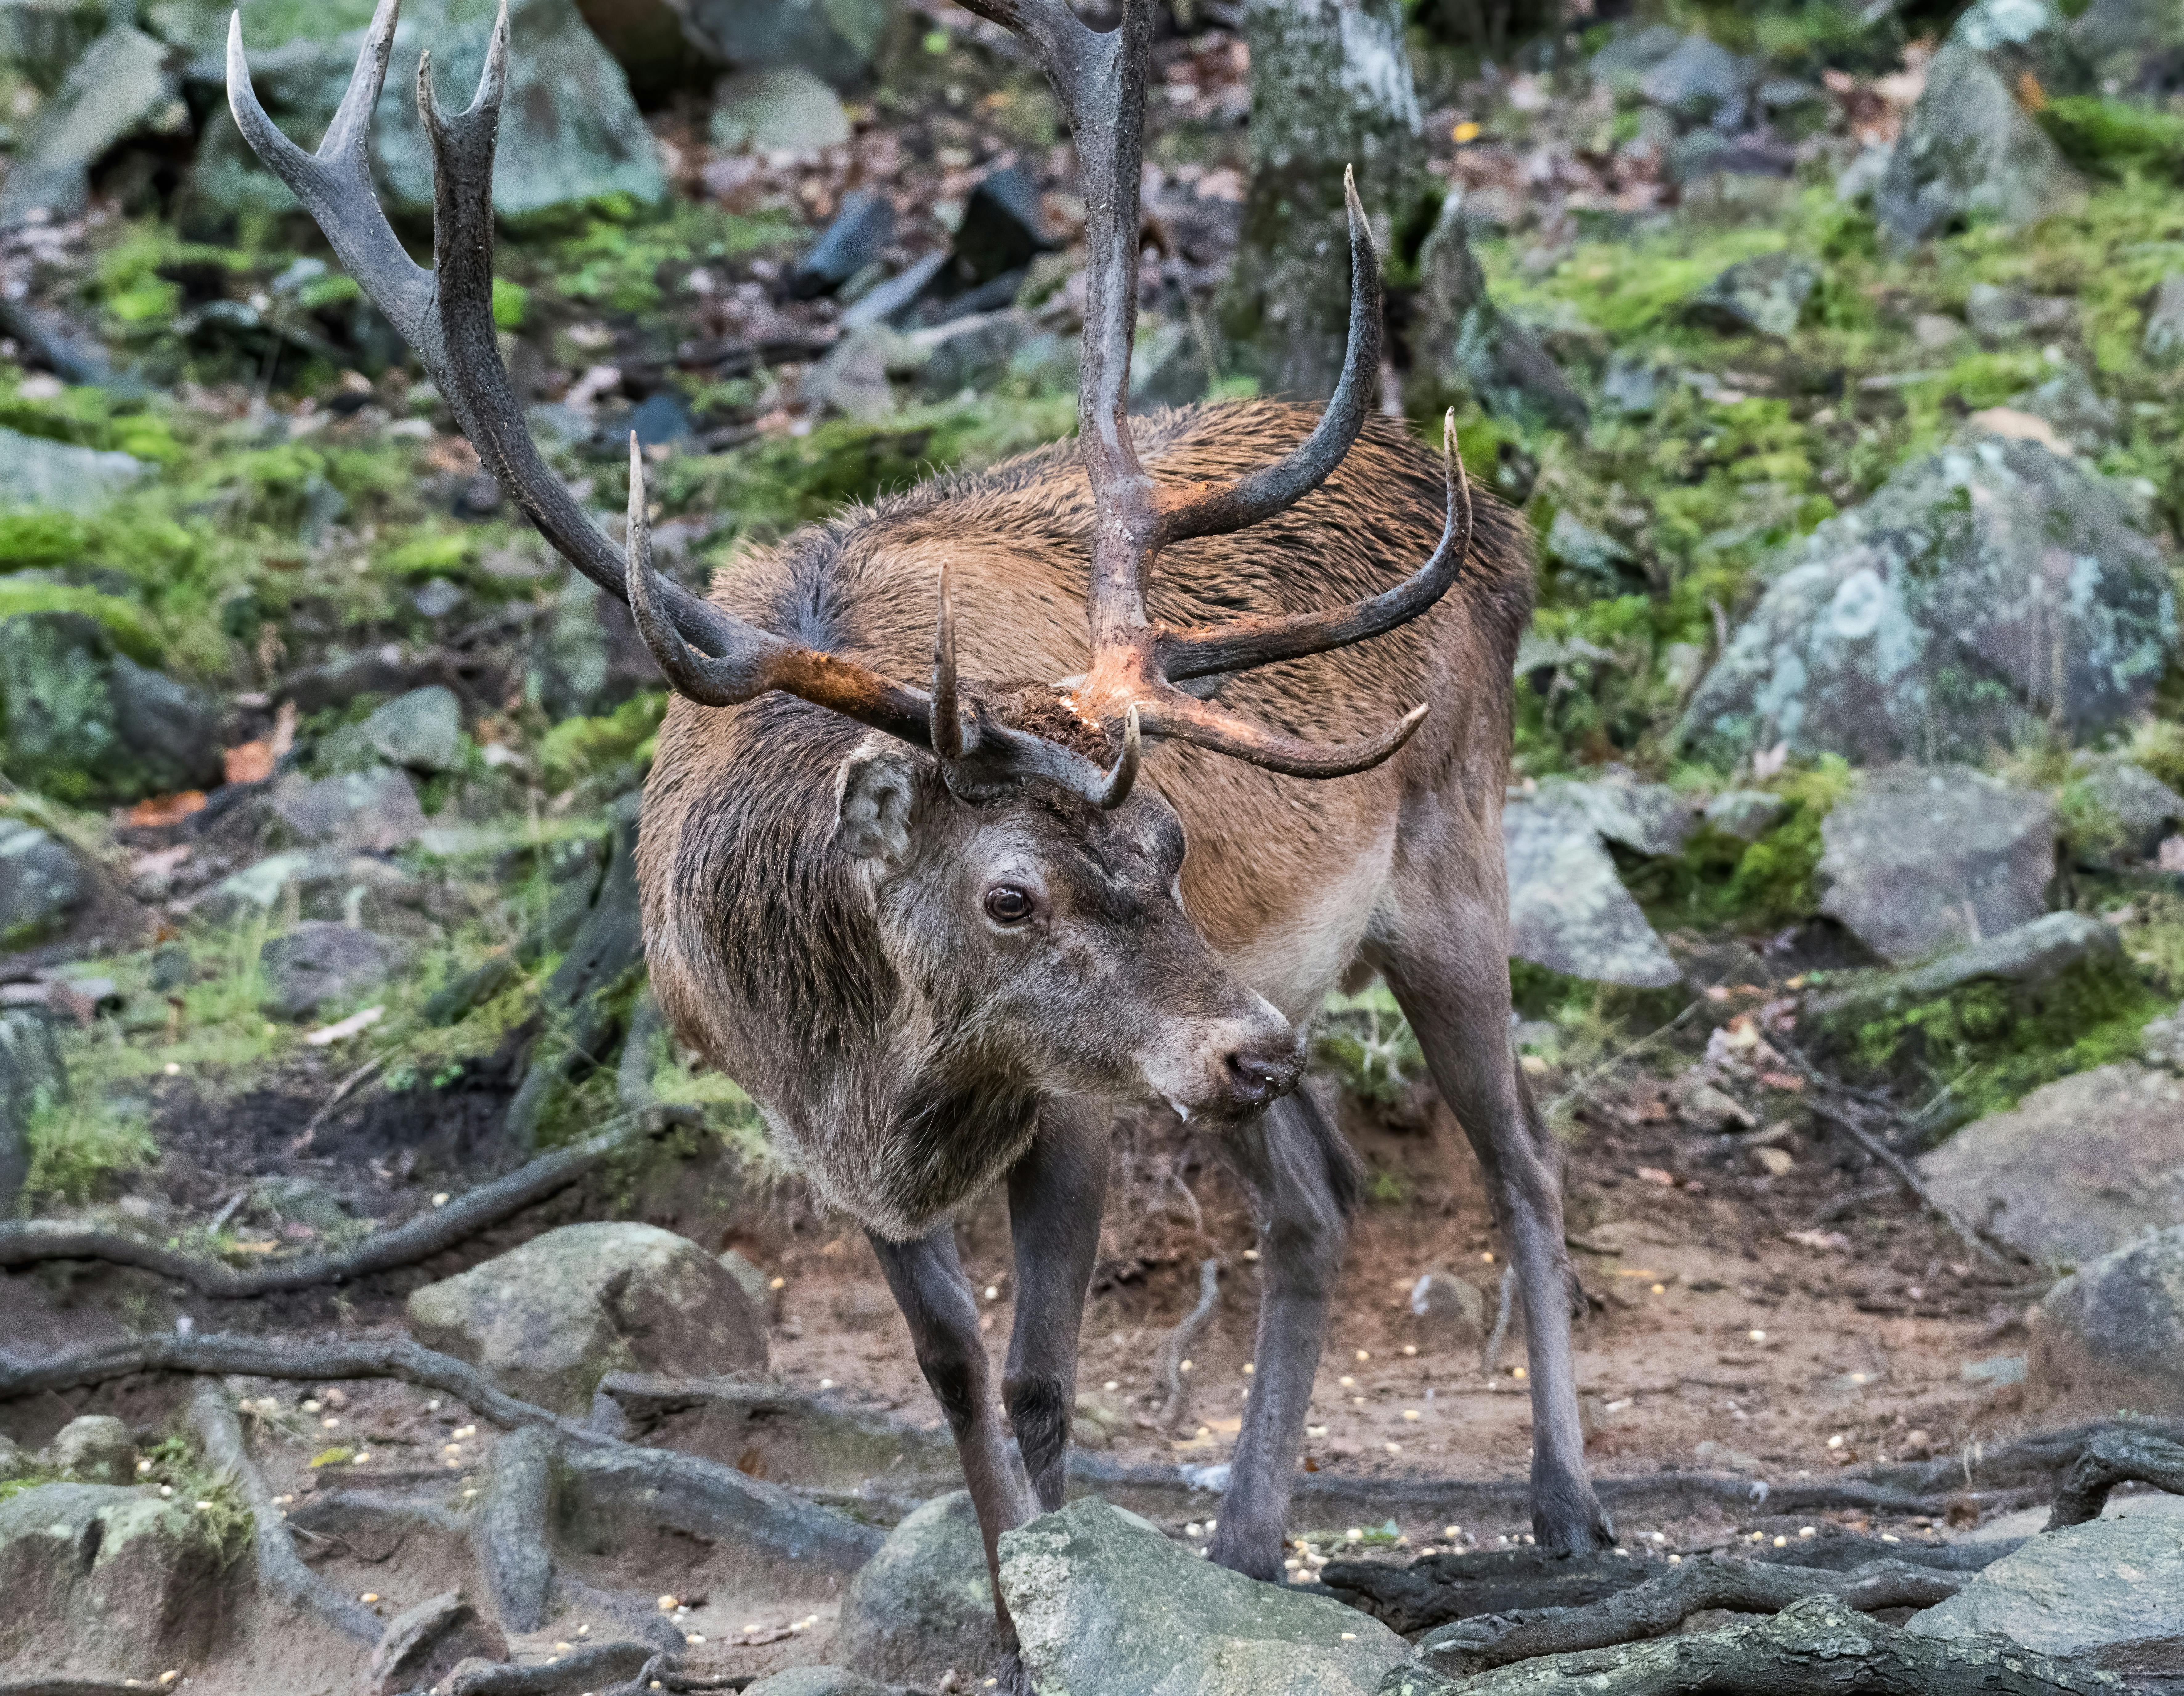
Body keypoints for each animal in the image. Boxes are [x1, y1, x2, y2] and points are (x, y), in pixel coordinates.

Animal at [227, 0, 1615, 1671]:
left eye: (1166, 841)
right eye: (1008, 895)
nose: (1249, 1044)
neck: (873, 1060)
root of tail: (1492, 518)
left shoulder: (1078, 1092)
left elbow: (1040, 1378)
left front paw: (1056, 1605)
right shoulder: (821, 1138)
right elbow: (952, 1371)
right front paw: (1012, 1602)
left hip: (1444, 851)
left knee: (1523, 1153)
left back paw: (1564, 1505)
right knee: (1321, 1195)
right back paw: (1248, 1539)